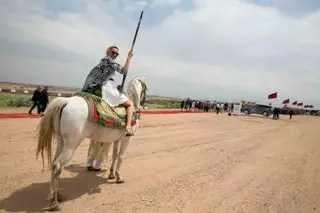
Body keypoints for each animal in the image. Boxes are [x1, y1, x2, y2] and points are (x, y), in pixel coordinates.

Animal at [35, 75, 148, 211]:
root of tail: (65, 102)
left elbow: (114, 156)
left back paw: (59, 196)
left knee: (54, 165)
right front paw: (119, 177)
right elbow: (120, 157)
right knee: (57, 166)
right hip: (71, 146)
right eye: (145, 88)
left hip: (61, 143)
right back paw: (54, 203)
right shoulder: (126, 139)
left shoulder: (116, 140)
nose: (144, 104)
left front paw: (111, 174)